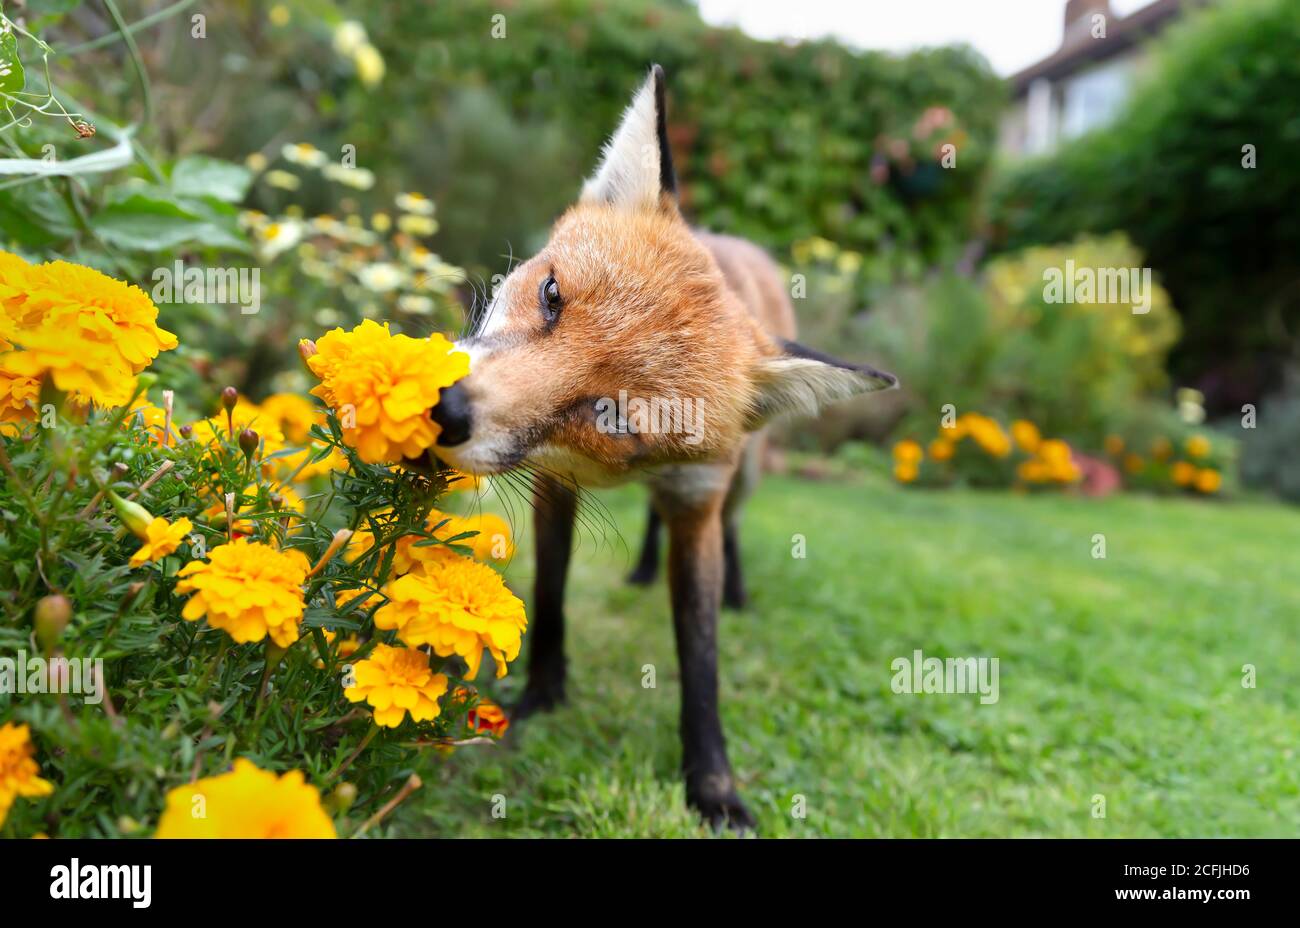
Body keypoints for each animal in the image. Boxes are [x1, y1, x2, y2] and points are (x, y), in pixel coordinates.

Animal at [428, 65, 896, 829]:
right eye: (552, 295)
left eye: (614, 417)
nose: (446, 408)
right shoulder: (555, 488)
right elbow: (550, 597)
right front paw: (540, 699)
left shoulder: (698, 505)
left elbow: (701, 661)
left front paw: (713, 786)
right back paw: (645, 568)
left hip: (746, 479)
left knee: (731, 528)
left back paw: (735, 589)